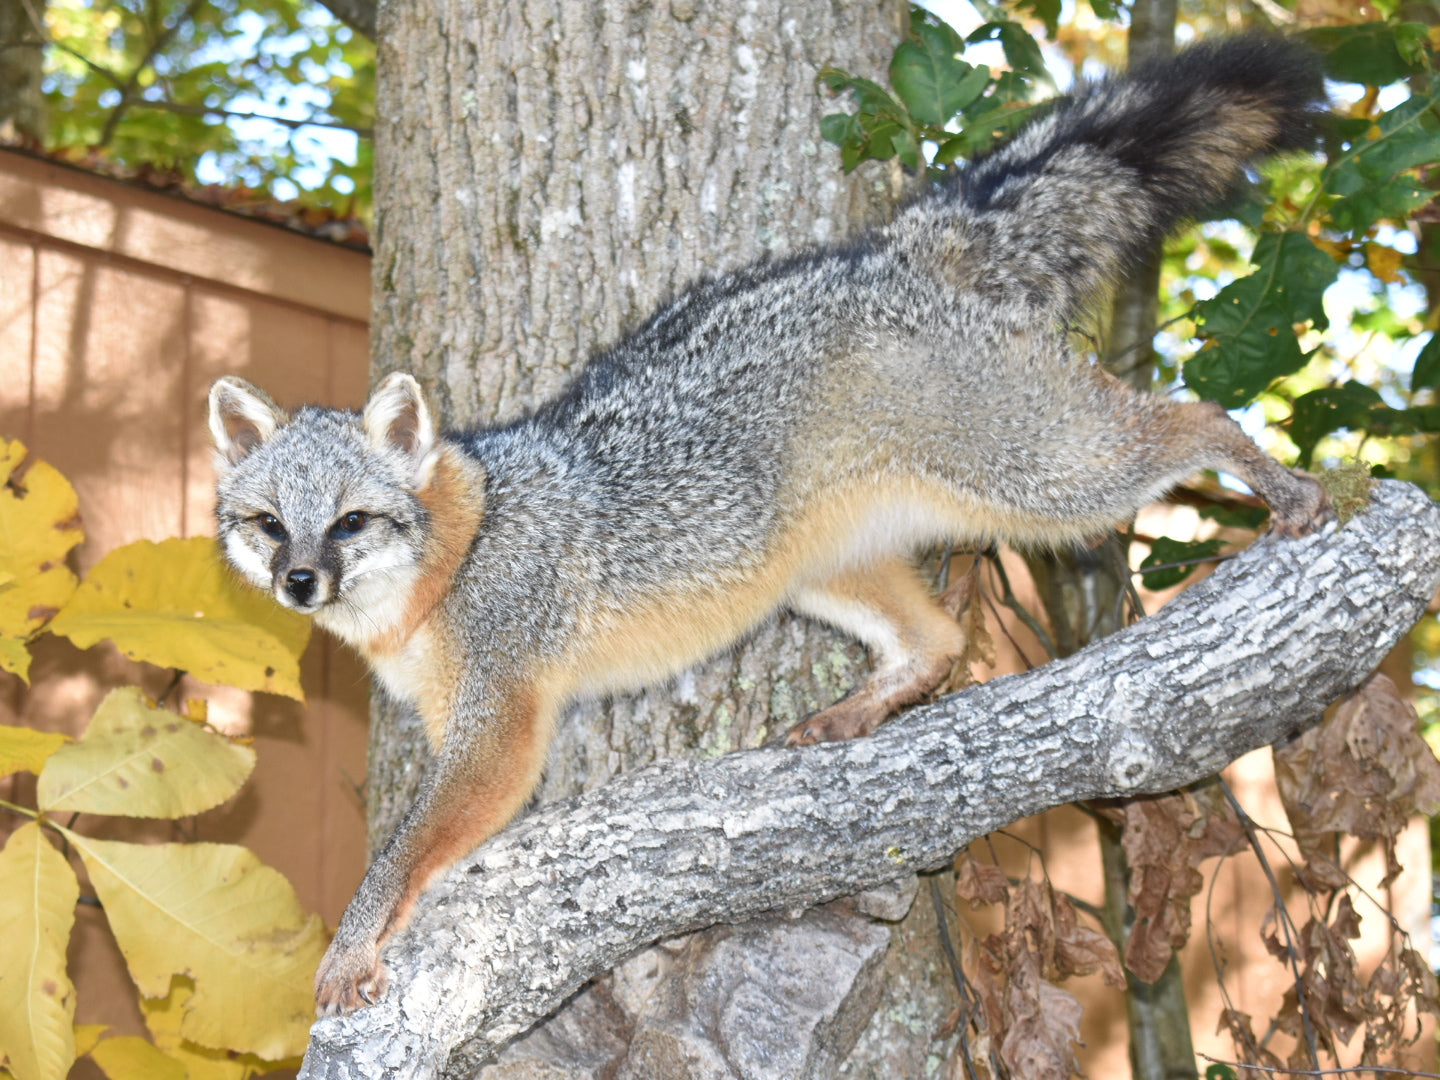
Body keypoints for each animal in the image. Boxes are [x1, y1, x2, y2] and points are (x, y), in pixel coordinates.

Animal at [209, 36, 1331, 1015]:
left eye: (350, 523)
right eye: (269, 526)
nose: (298, 584)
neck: (456, 556)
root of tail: (887, 249)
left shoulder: (497, 732)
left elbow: (400, 853)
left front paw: (356, 946)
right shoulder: (460, 726)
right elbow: (422, 844)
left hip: (1048, 478)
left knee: (1194, 416)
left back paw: (1287, 487)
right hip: (820, 572)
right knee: (940, 640)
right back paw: (853, 714)